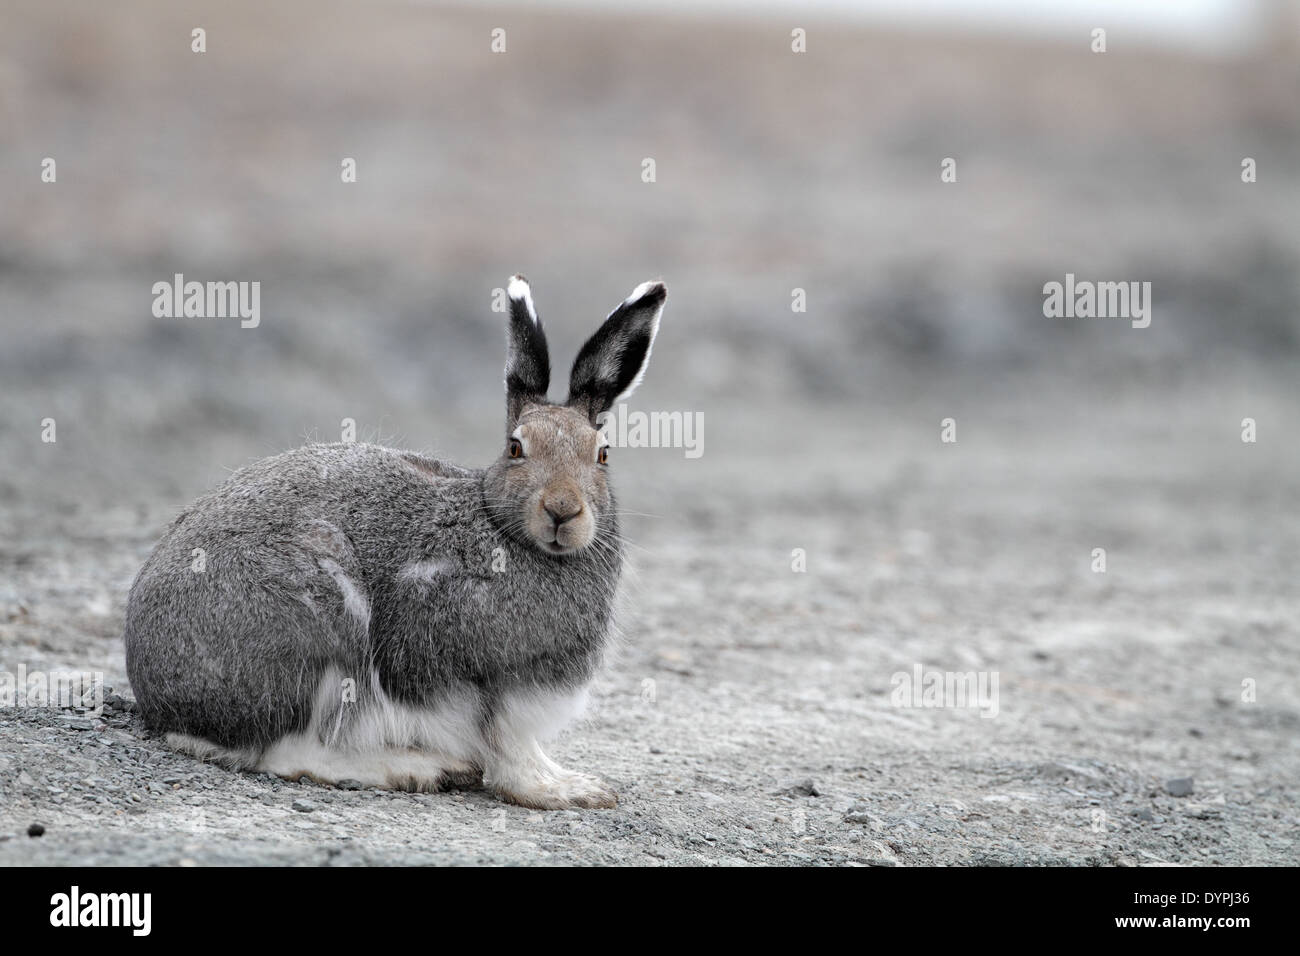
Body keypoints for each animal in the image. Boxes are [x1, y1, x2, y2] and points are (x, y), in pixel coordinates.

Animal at [123, 275, 666, 809]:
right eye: (516, 448)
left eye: (602, 455)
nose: (562, 510)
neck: (501, 527)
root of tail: (161, 703)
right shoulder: (478, 678)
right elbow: (508, 748)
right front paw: (562, 790)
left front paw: (574, 782)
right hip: (317, 628)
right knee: (284, 749)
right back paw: (415, 767)